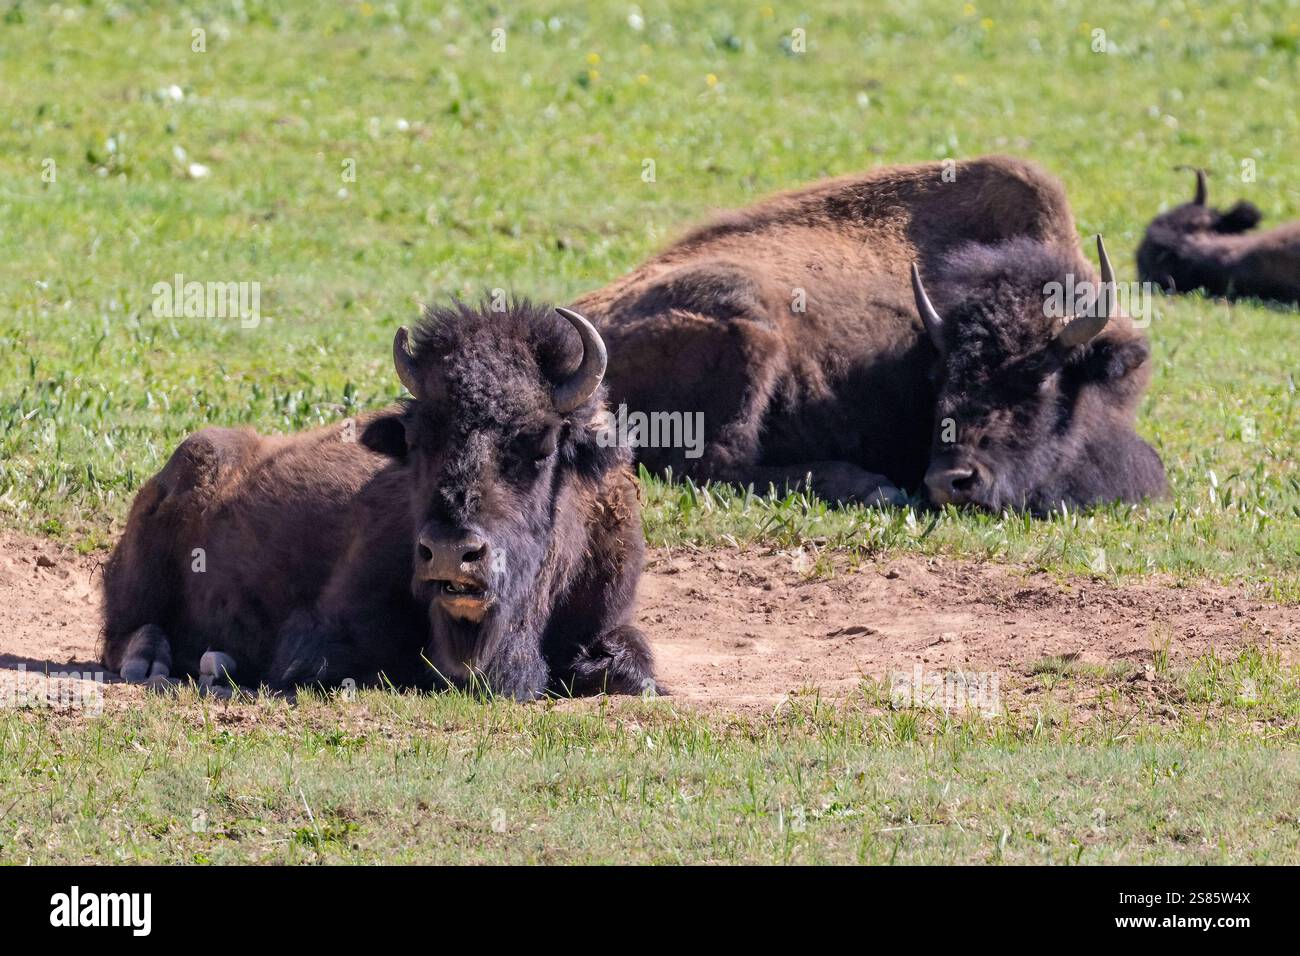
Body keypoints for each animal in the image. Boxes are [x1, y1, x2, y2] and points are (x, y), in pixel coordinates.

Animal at [101, 302, 657, 700]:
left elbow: (632, 672)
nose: (451, 553)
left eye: (540, 445)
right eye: (416, 440)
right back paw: (159, 663)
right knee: (127, 630)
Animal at [575, 155, 1166, 512]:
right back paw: (873, 488)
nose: (951, 481)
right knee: (711, 464)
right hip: (750, 336)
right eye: (941, 377)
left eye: (1041, 380)